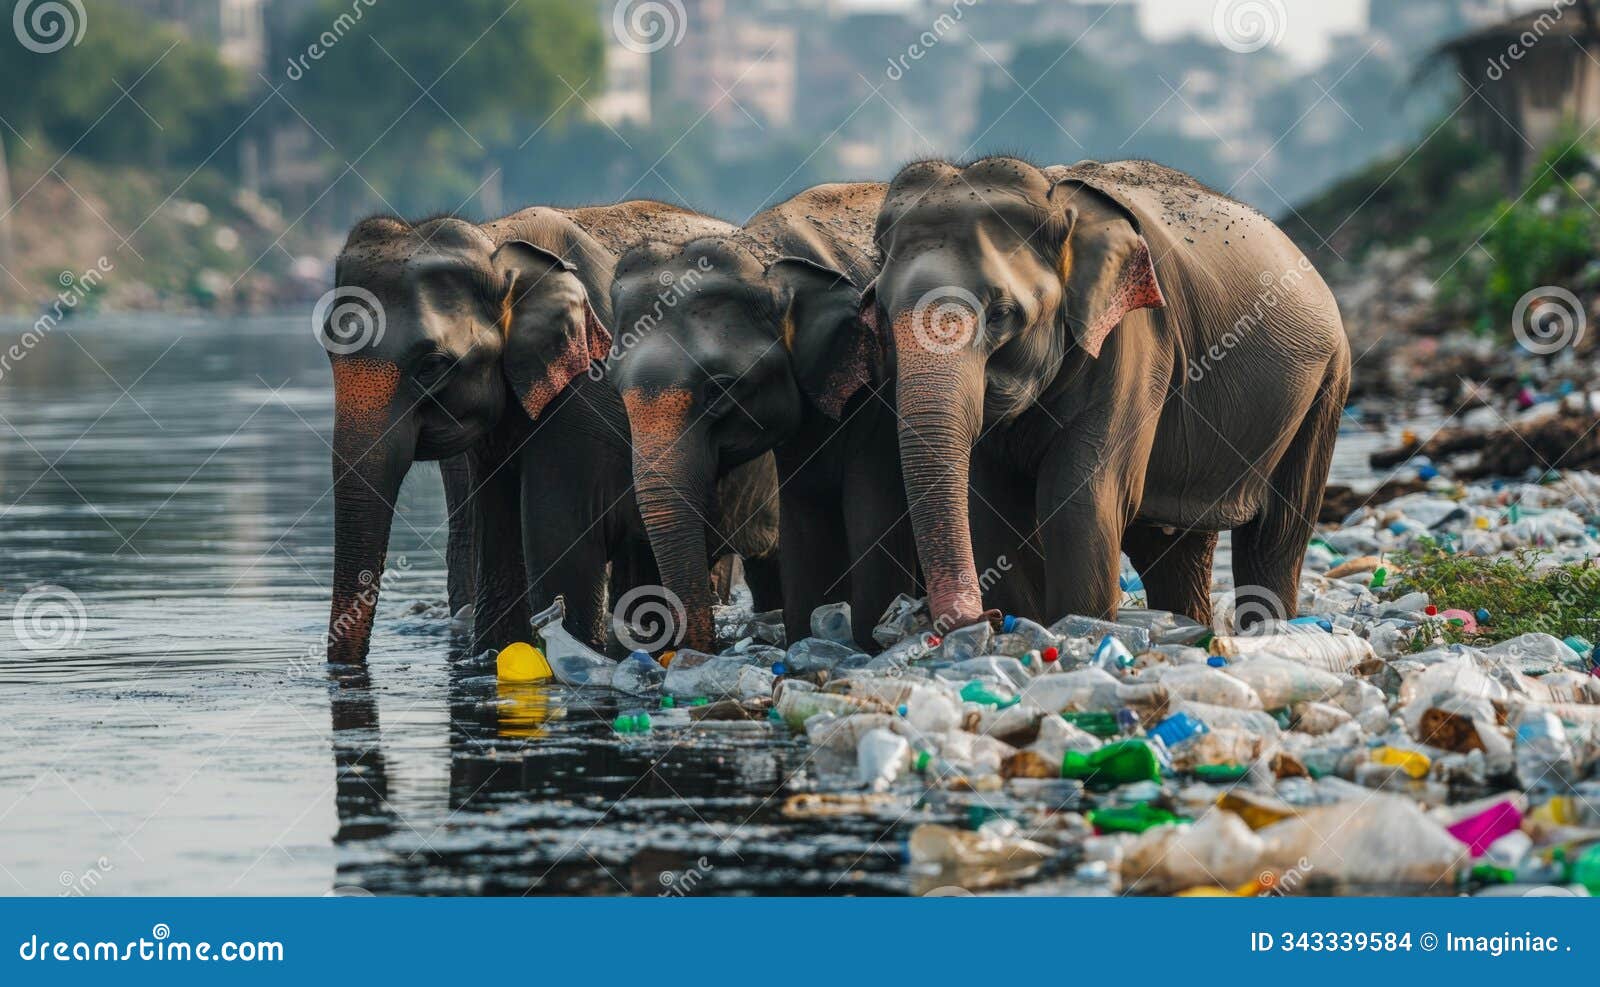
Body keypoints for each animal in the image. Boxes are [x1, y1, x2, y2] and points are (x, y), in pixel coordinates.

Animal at [322, 202, 781, 665]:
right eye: (329, 353)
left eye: (432, 365)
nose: (348, 667)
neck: (496, 243)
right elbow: (499, 550)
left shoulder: (585, 389)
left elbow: (561, 552)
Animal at [604, 182, 934, 652]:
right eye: (616, 389)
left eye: (720, 390)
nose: (654, 633)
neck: (765, 257)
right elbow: (803, 524)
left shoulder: (879, 387)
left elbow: (874, 519)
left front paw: (870, 640)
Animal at [862, 157, 1351, 634]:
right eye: (880, 315)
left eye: (1000, 314)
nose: (985, 617)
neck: (1059, 206)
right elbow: (990, 506)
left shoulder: (1135, 339)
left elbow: (1080, 499)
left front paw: (1075, 628)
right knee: (1173, 547)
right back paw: (1193, 631)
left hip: (1325, 386)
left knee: (1275, 536)